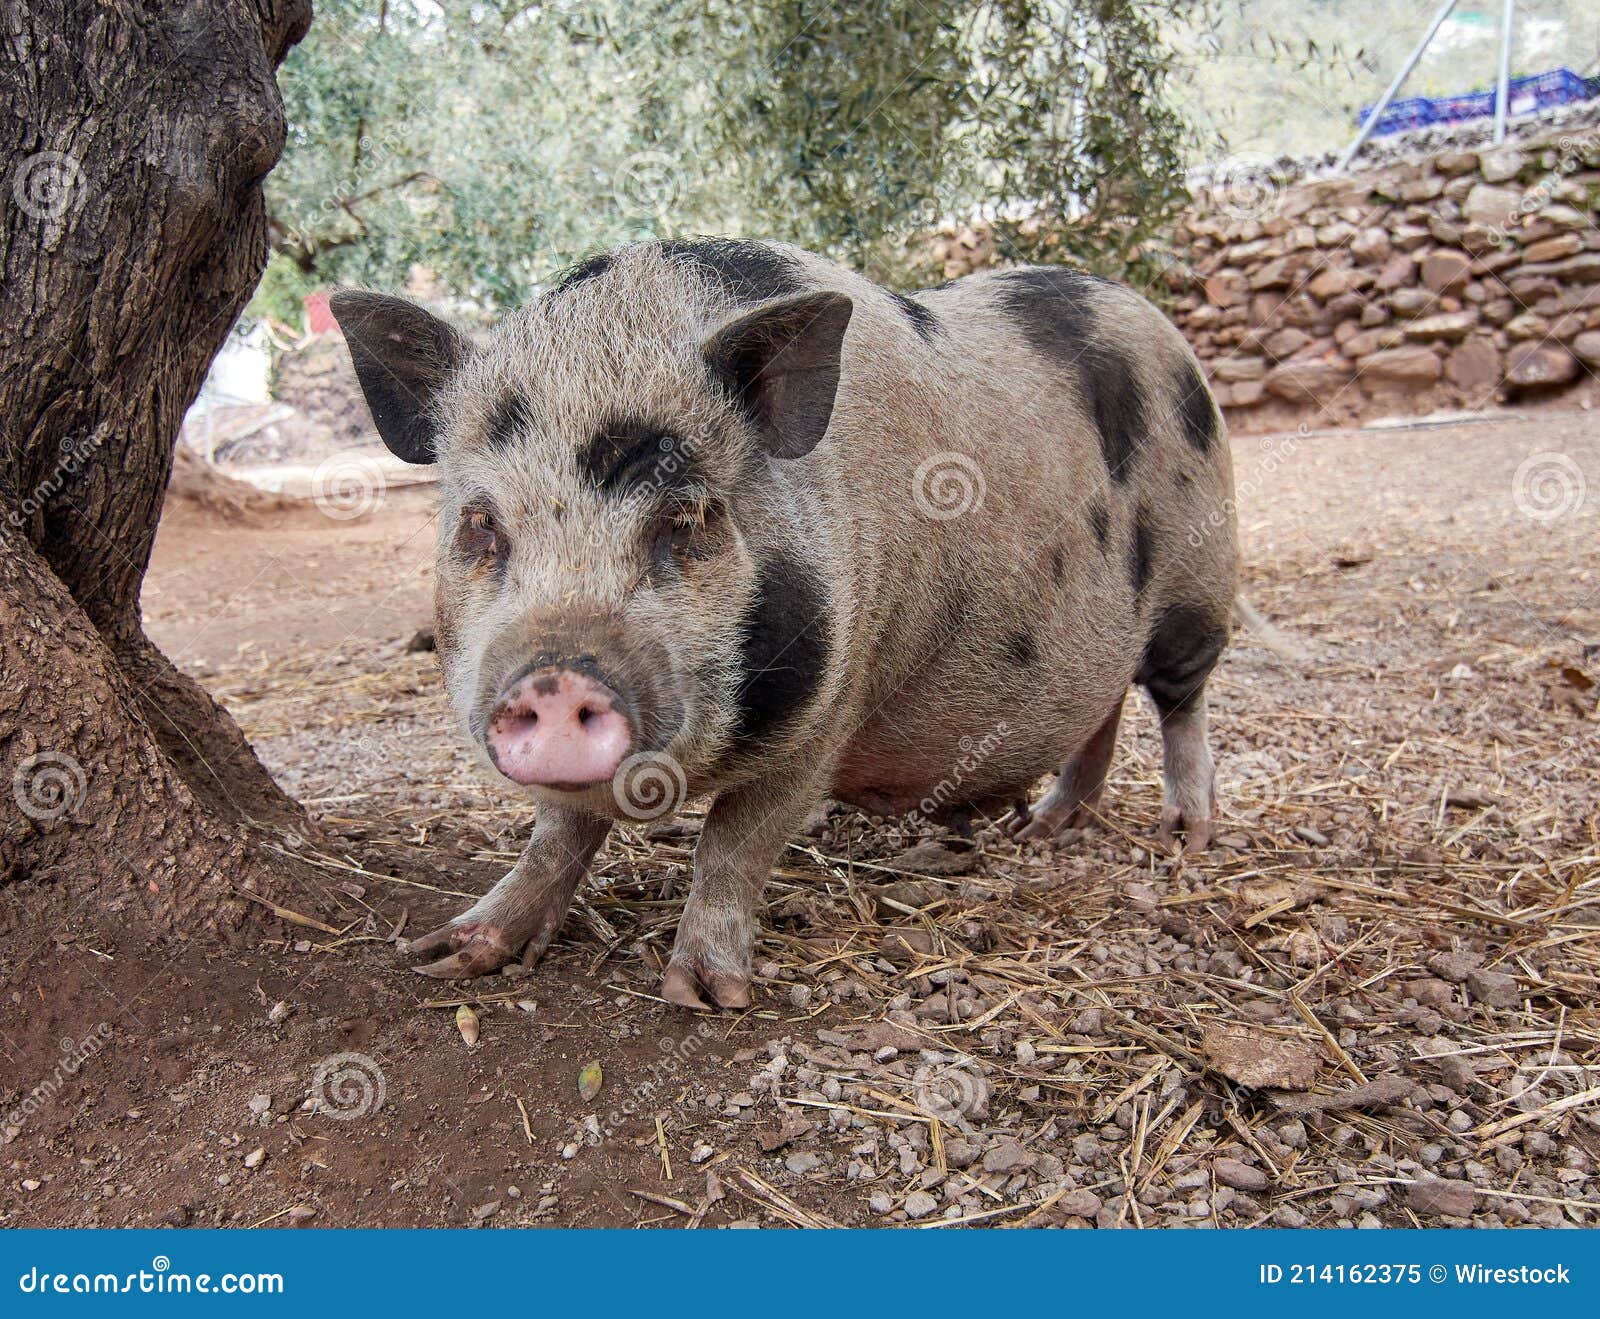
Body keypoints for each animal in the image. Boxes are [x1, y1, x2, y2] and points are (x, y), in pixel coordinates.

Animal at [331, 237, 1237, 1009]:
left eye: (690, 515)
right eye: (481, 522)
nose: (556, 675)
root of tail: (1151, 314)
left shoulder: (835, 699)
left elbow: (735, 842)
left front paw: (706, 996)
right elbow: (556, 833)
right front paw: (447, 953)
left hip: (1202, 574)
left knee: (1181, 700)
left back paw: (1186, 837)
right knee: (1103, 707)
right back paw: (1049, 826)